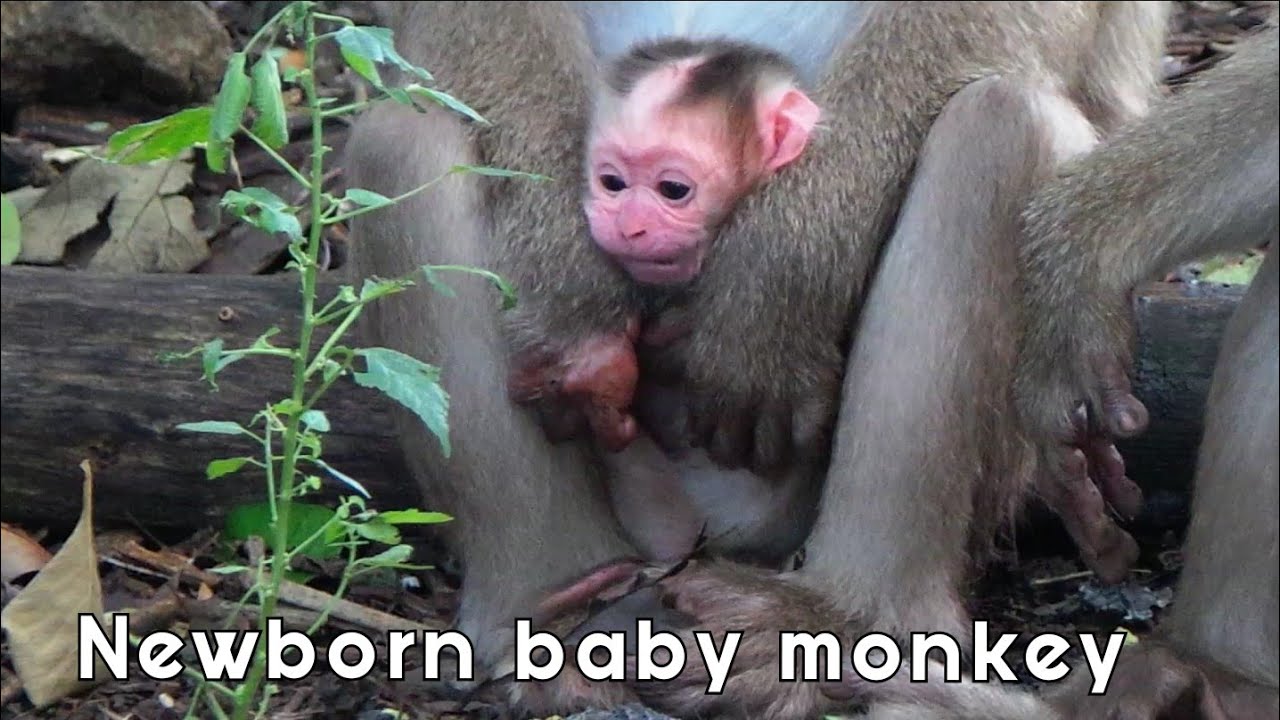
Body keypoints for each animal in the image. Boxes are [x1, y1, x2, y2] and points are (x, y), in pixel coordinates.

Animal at [345, 2, 1171, 717]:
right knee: (401, 134)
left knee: (1003, 125)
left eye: (675, 188)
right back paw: (552, 611)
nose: (630, 223)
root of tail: (696, 531)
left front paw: (769, 306)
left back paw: (841, 621)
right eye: (612, 181)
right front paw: (572, 302)